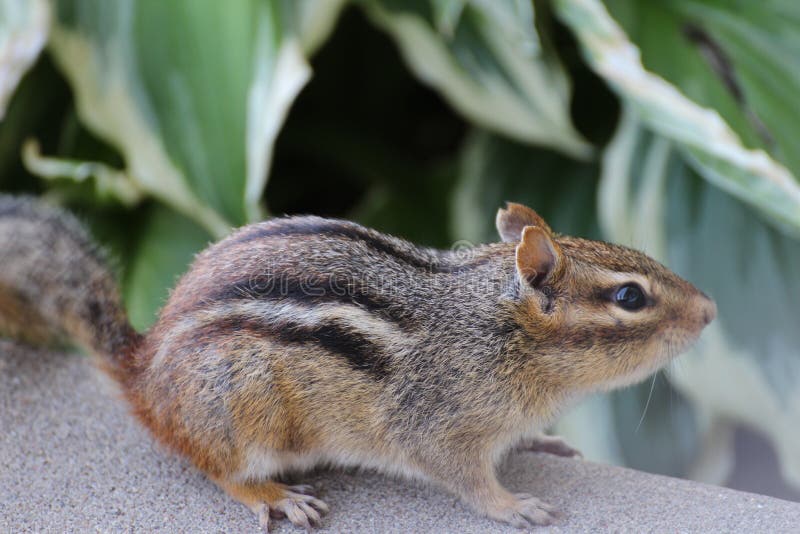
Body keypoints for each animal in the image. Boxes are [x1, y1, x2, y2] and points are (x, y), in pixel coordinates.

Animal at [0, 195, 716, 530]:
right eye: (630, 297)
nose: (710, 310)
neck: (496, 332)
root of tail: (143, 367)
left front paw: (539, 442)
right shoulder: (439, 427)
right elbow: (466, 479)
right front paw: (514, 506)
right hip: (243, 404)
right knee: (218, 469)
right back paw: (276, 496)